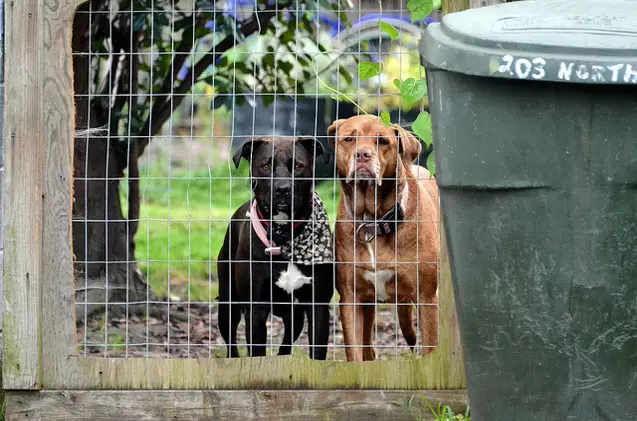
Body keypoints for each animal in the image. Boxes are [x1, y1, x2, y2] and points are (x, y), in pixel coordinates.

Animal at [217, 137, 332, 358]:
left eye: (298, 166)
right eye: (265, 166)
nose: (282, 189)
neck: (283, 235)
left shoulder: (318, 307)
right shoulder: (256, 309)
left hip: (294, 316)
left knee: (286, 344)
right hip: (227, 303)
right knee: (231, 344)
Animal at [328, 115, 438, 360]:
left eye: (383, 142)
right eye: (349, 139)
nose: (362, 154)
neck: (374, 221)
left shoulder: (426, 296)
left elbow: (430, 348)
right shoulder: (350, 298)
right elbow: (355, 353)